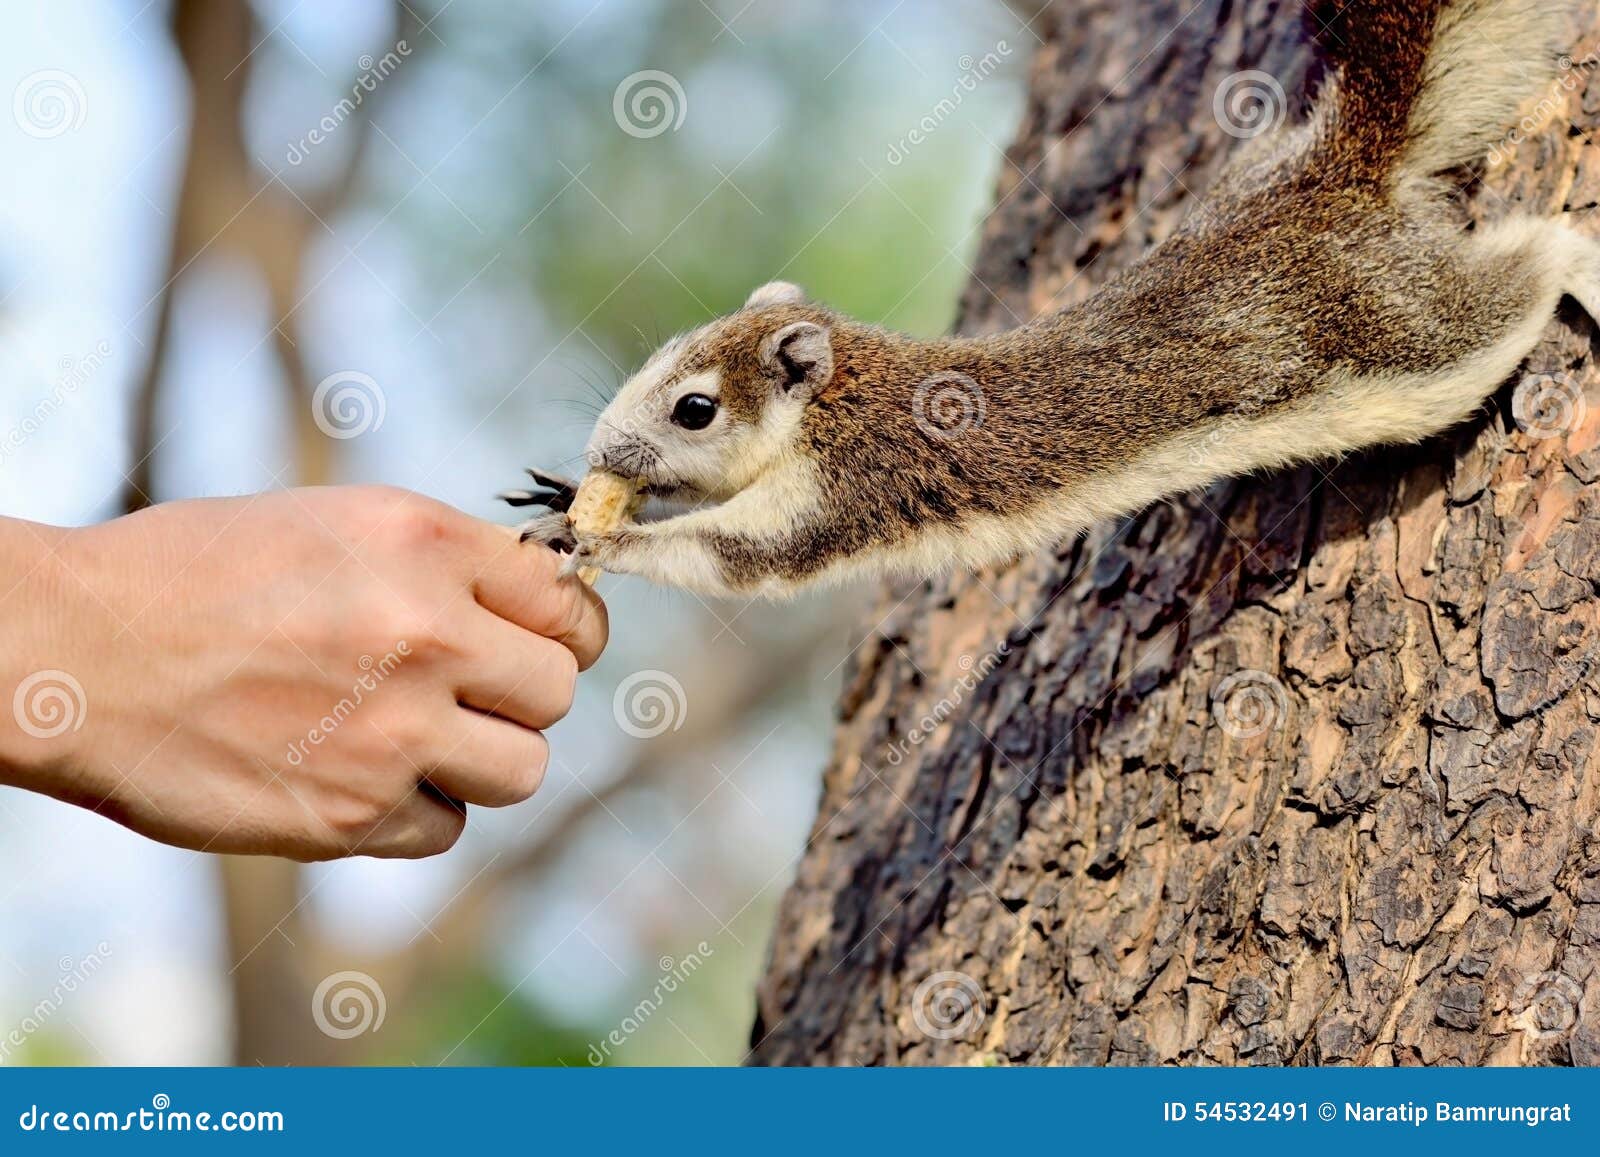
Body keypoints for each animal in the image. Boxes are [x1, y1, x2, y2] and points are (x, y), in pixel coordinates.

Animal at [507, 0, 1600, 600]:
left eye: (695, 407)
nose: (605, 453)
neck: (835, 398)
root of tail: (1340, 169)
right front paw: (564, 496)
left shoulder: (850, 487)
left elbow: (736, 557)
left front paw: (598, 535)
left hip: (1404, 337)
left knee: (1517, 276)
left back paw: (1578, 260)